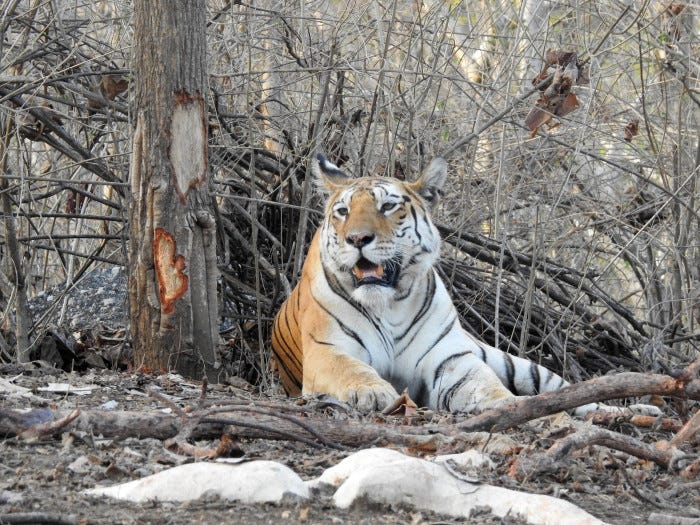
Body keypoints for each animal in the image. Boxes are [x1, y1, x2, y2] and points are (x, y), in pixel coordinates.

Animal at [271, 154, 648, 415]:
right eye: (343, 211)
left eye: (388, 206)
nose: (357, 239)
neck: (388, 303)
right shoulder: (328, 350)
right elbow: (352, 370)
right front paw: (373, 392)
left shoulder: (450, 357)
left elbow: (482, 384)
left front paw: (505, 403)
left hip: (516, 363)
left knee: (577, 394)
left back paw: (633, 410)